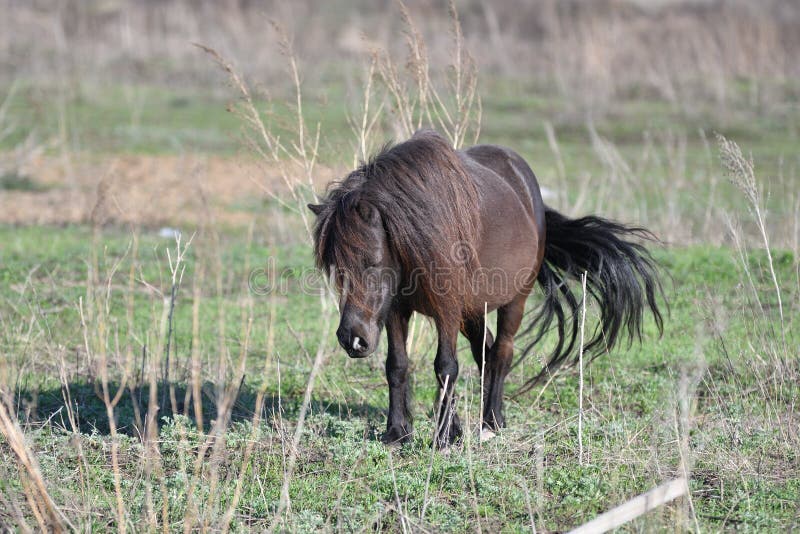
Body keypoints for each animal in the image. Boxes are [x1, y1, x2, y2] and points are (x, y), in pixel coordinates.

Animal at [308, 129, 663, 448]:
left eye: (370, 261)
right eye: (336, 267)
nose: (352, 339)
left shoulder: (447, 310)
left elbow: (445, 366)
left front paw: (444, 438)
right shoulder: (396, 309)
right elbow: (397, 365)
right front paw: (398, 433)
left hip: (514, 301)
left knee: (502, 352)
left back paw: (491, 422)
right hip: (474, 311)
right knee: (487, 352)